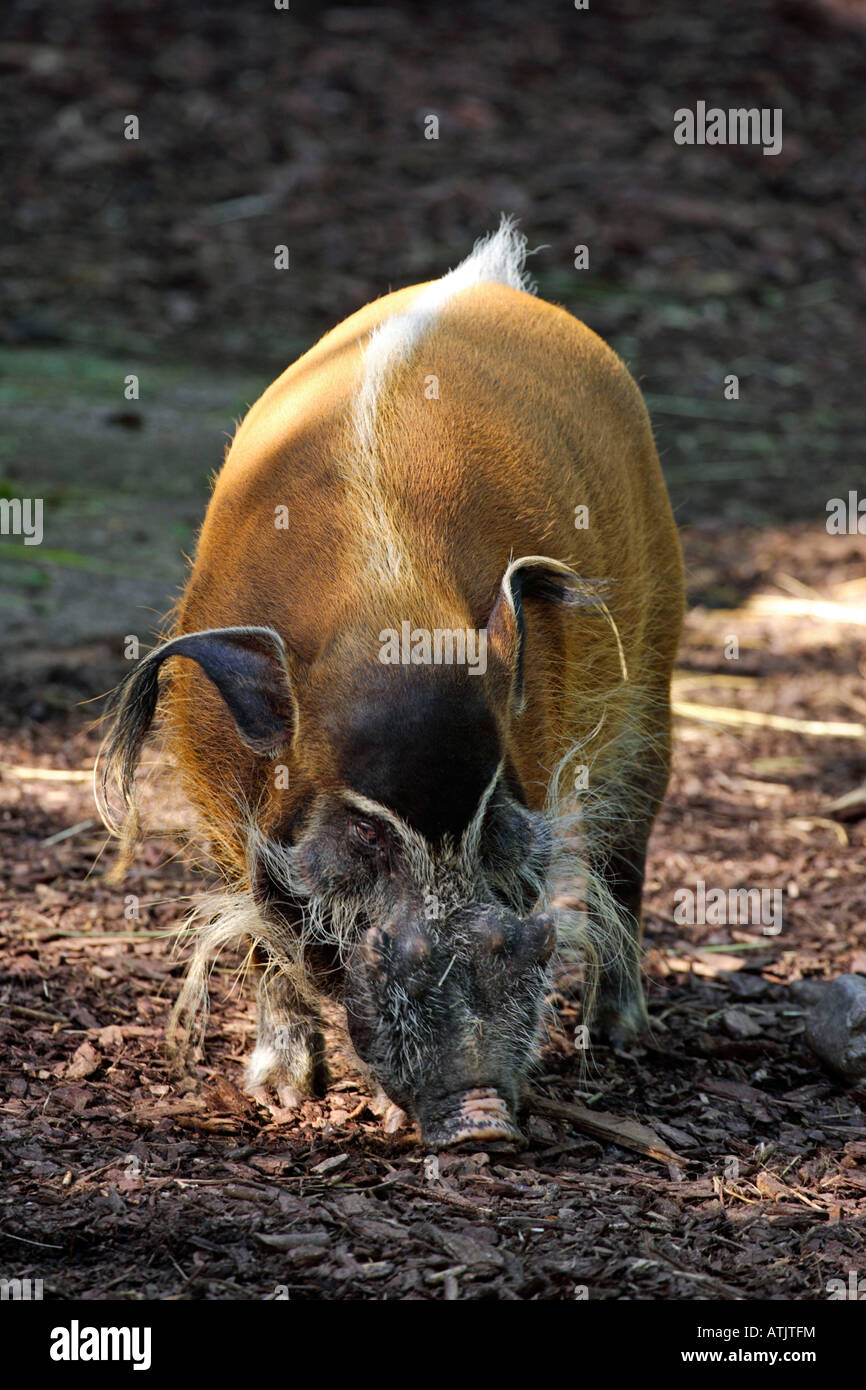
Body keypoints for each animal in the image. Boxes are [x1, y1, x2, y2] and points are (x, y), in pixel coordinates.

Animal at [97, 219, 684, 1148]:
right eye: (365, 834)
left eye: (496, 823)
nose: (482, 1122)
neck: (381, 613)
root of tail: (487, 279)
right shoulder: (219, 799)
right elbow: (264, 933)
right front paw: (285, 1091)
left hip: (655, 668)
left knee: (626, 847)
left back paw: (619, 1035)